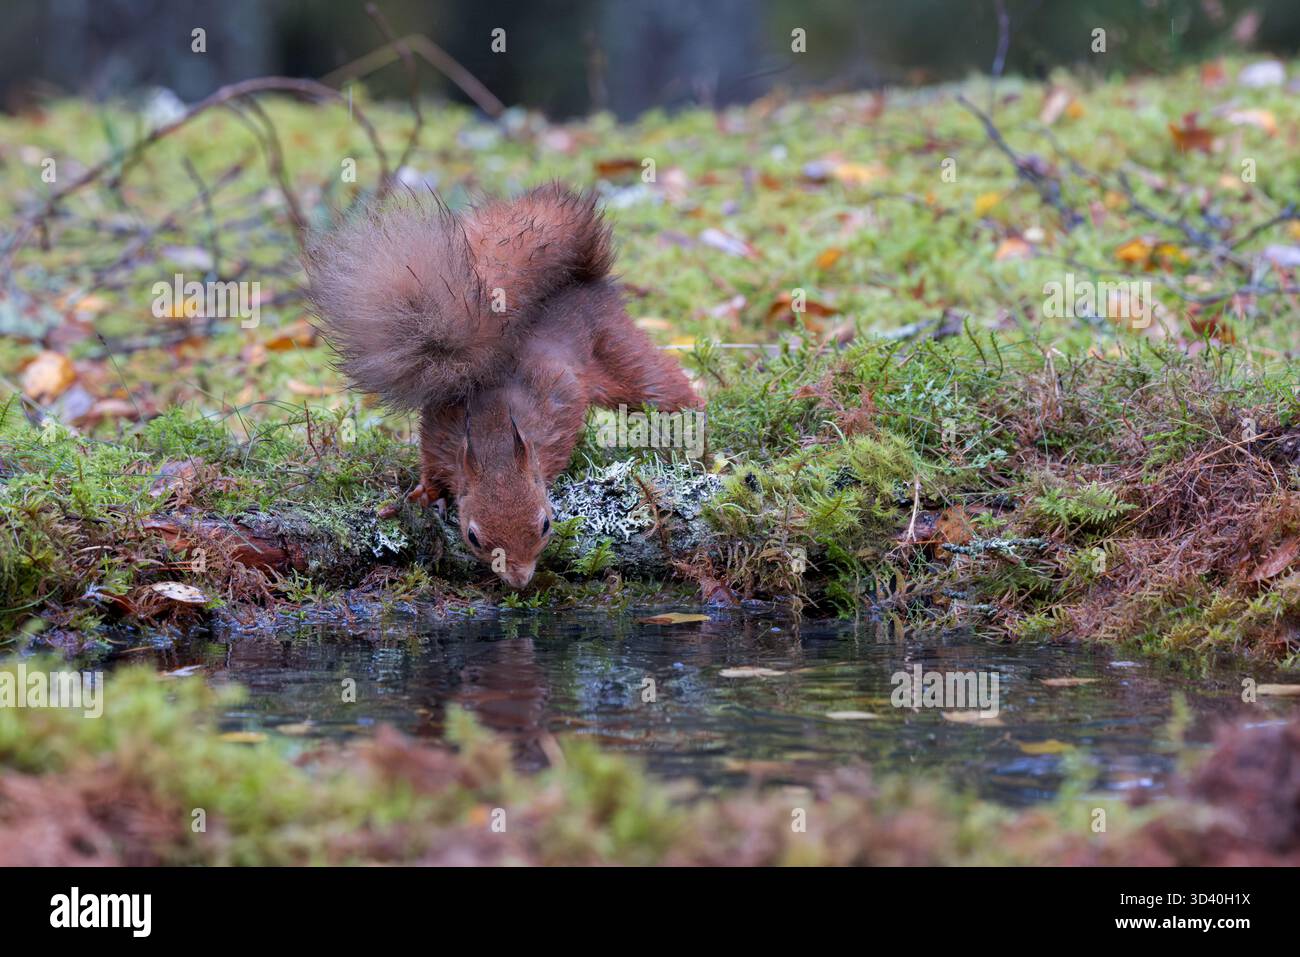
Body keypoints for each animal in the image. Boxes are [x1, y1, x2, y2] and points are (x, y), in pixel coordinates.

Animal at [305, 184, 702, 588]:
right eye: (473, 536)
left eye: (546, 525)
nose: (520, 580)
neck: (493, 432)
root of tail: (584, 283)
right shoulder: (441, 429)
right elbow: (431, 464)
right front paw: (426, 493)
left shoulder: (555, 406)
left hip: (618, 349)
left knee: (659, 382)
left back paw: (693, 419)